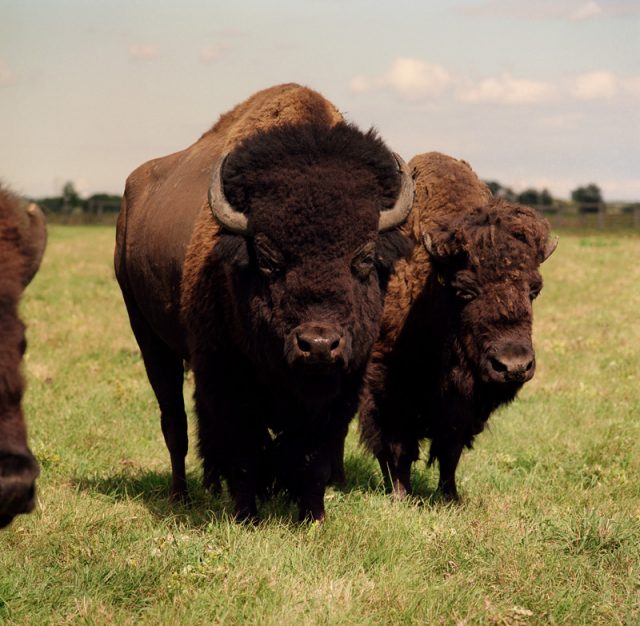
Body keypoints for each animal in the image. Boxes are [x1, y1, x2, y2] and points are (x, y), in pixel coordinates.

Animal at [115, 83, 414, 521]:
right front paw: (247, 515)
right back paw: (180, 496)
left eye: (363, 257)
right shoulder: (226, 374)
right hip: (150, 339)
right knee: (175, 423)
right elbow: (243, 448)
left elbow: (316, 452)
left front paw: (312, 515)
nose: (317, 345)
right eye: (269, 259)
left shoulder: (342, 383)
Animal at [358, 152, 557, 500]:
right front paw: (401, 495)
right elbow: (396, 445)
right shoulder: (386, 382)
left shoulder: (463, 402)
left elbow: (450, 449)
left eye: (534, 290)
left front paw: (450, 497)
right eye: (465, 290)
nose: (514, 366)